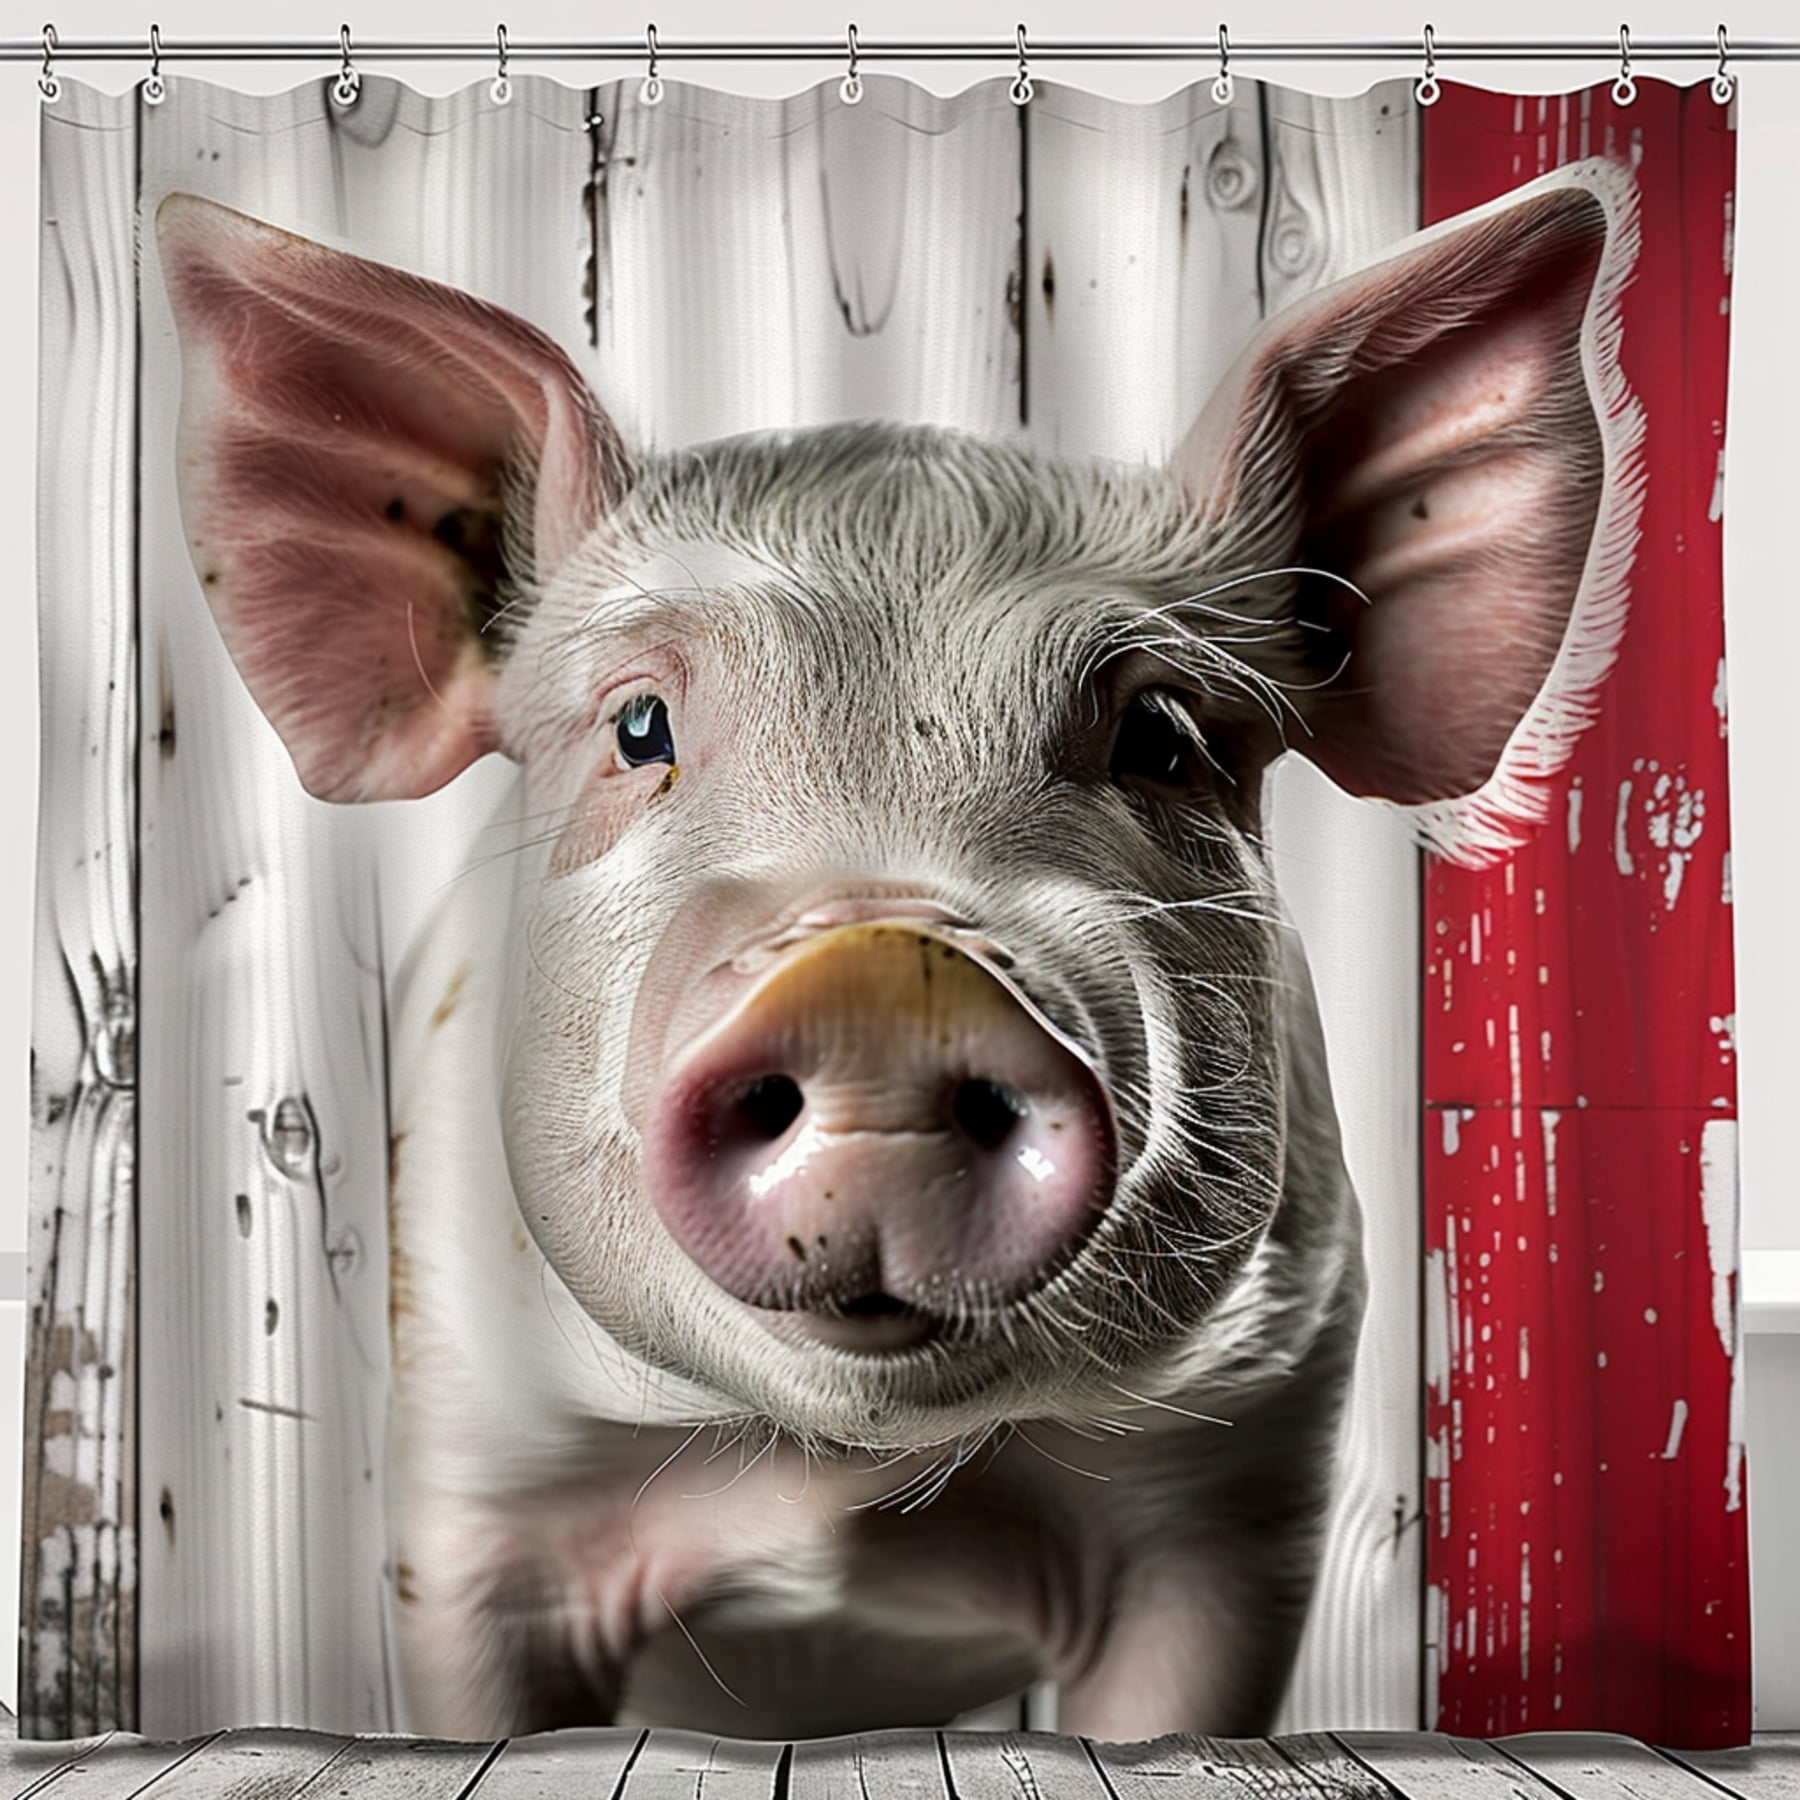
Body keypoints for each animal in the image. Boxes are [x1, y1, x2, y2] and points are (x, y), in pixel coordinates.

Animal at [154, 155, 1636, 1742]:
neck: (833, 1487)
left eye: (1163, 736)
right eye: (638, 726)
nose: (884, 982)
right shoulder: (467, 1490)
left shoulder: (1243, 1493)